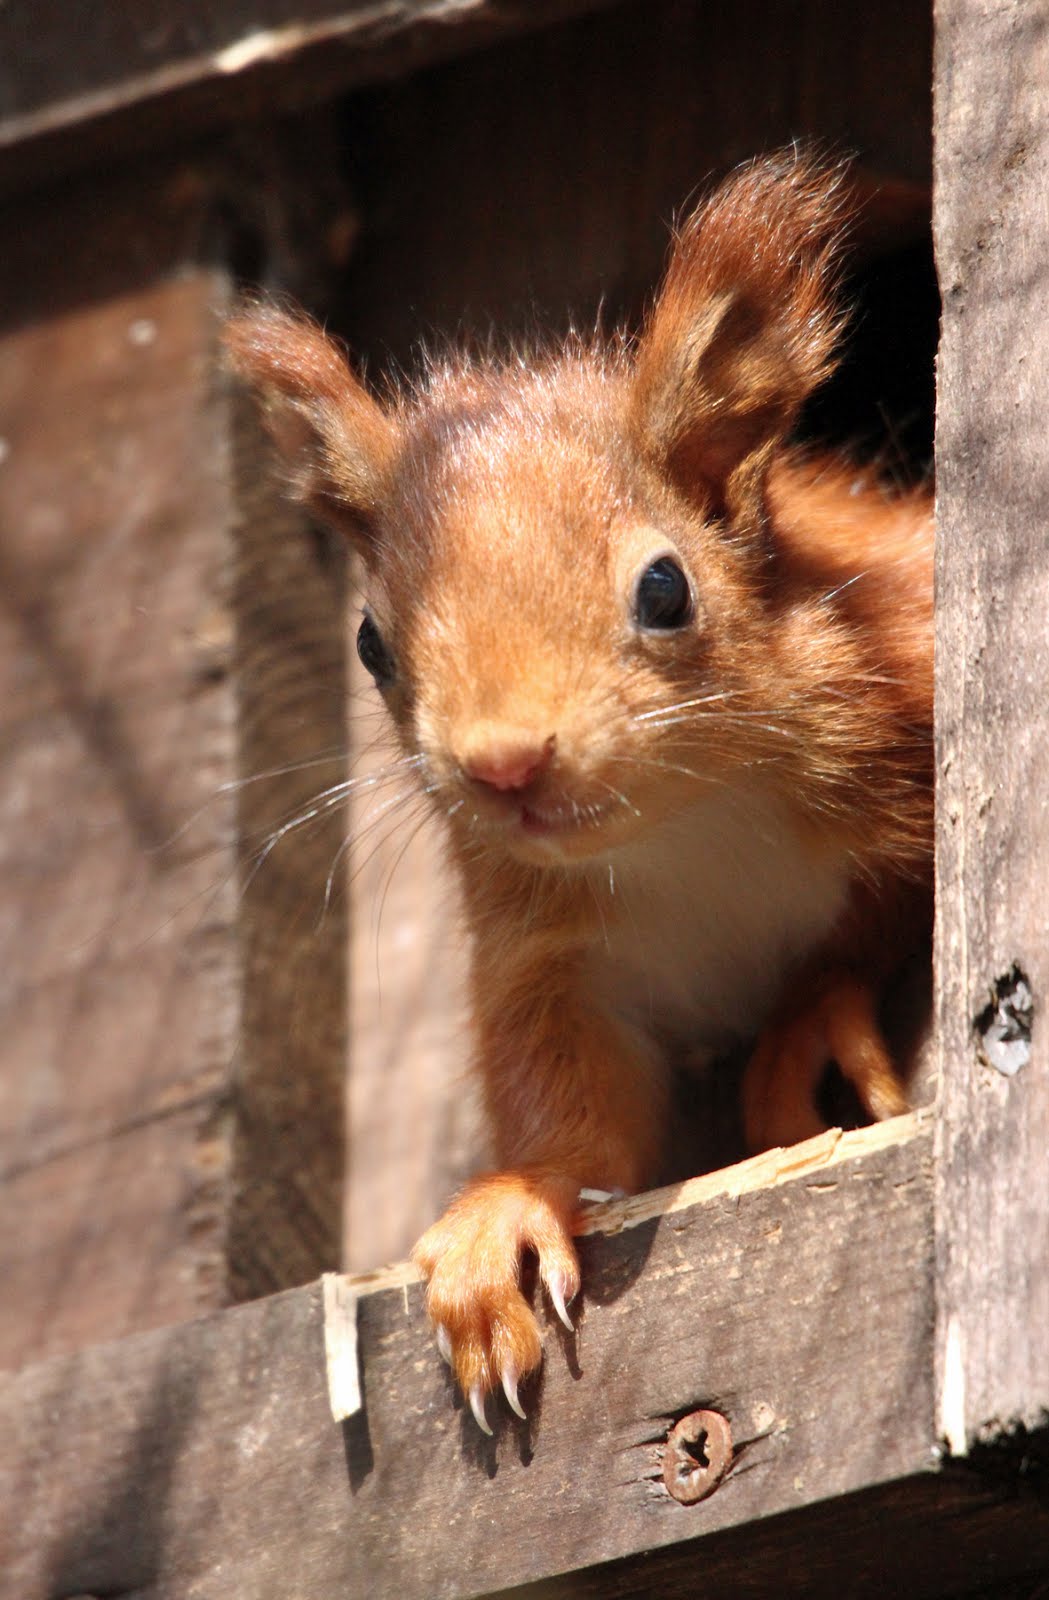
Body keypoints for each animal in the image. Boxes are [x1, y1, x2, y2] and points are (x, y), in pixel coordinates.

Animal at [225, 152, 933, 1435]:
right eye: (368, 644)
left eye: (664, 589)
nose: (505, 766)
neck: (686, 830)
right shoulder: (545, 946)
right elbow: (572, 1096)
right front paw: (507, 1208)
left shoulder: (896, 706)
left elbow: (879, 912)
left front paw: (806, 1016)